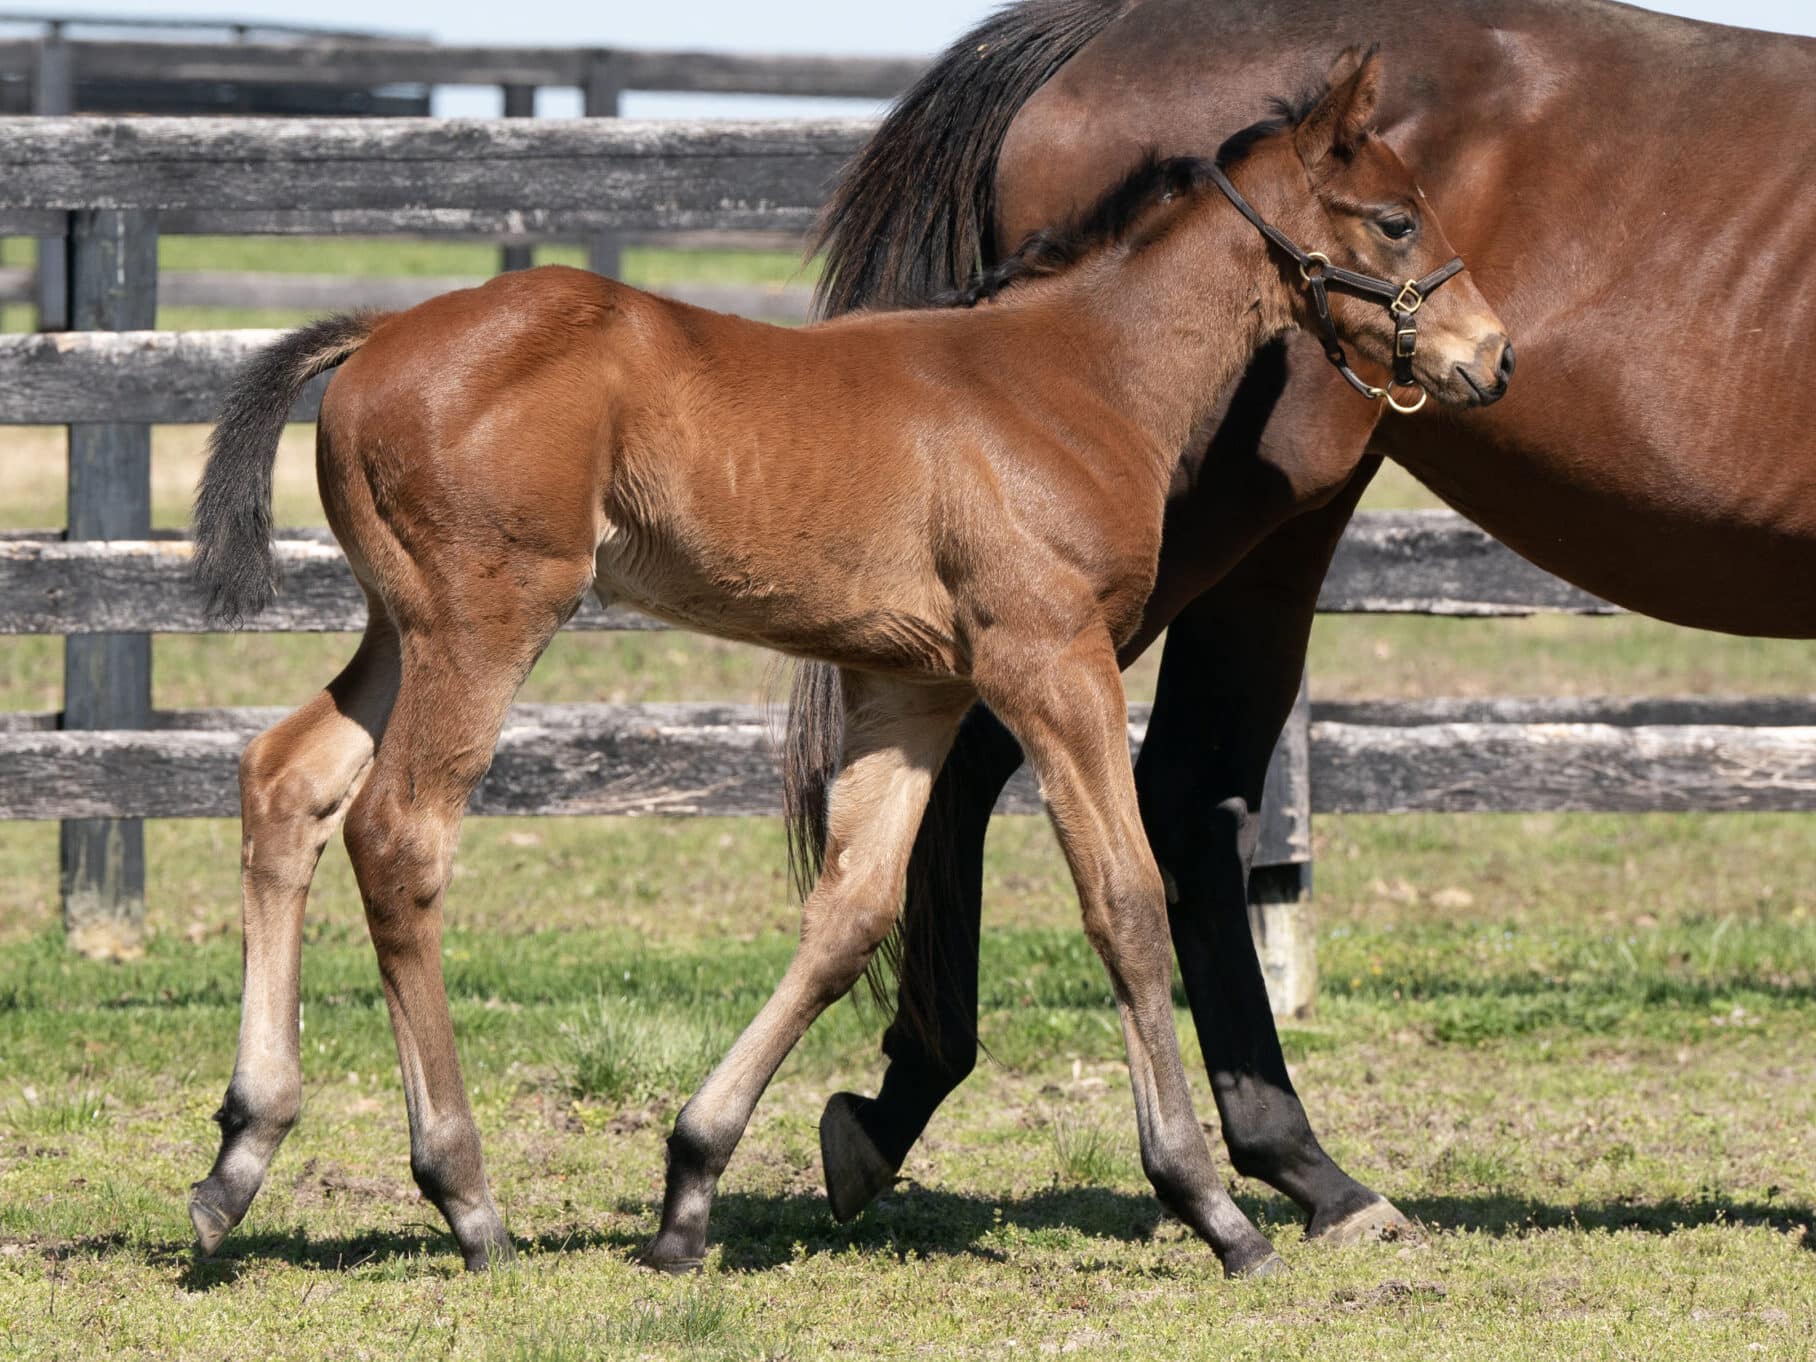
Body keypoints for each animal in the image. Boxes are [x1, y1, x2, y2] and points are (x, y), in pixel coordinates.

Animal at [183, 52, 1507, 1277]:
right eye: (1396, 220)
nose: (1490, 357)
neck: (1079, 375)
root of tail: (379, 334)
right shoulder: (1051, 661)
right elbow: (1124, 900)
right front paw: (1213, 1209)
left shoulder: (915, 686)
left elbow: (852, 912)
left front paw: (690, 1191)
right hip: (486, 619)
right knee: (399, 832)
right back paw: (463, 1196)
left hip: (398, 625)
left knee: (286, 781)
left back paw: (238, 1157)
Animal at [790, 0, 1816, 1250]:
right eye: (1393, 218)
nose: (1498, 356)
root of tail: (1095, 30)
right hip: (1169, 542)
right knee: (1005, 764)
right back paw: (907, 1103)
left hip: (1273, 538)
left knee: (1183, 799)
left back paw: (1306, 1172)